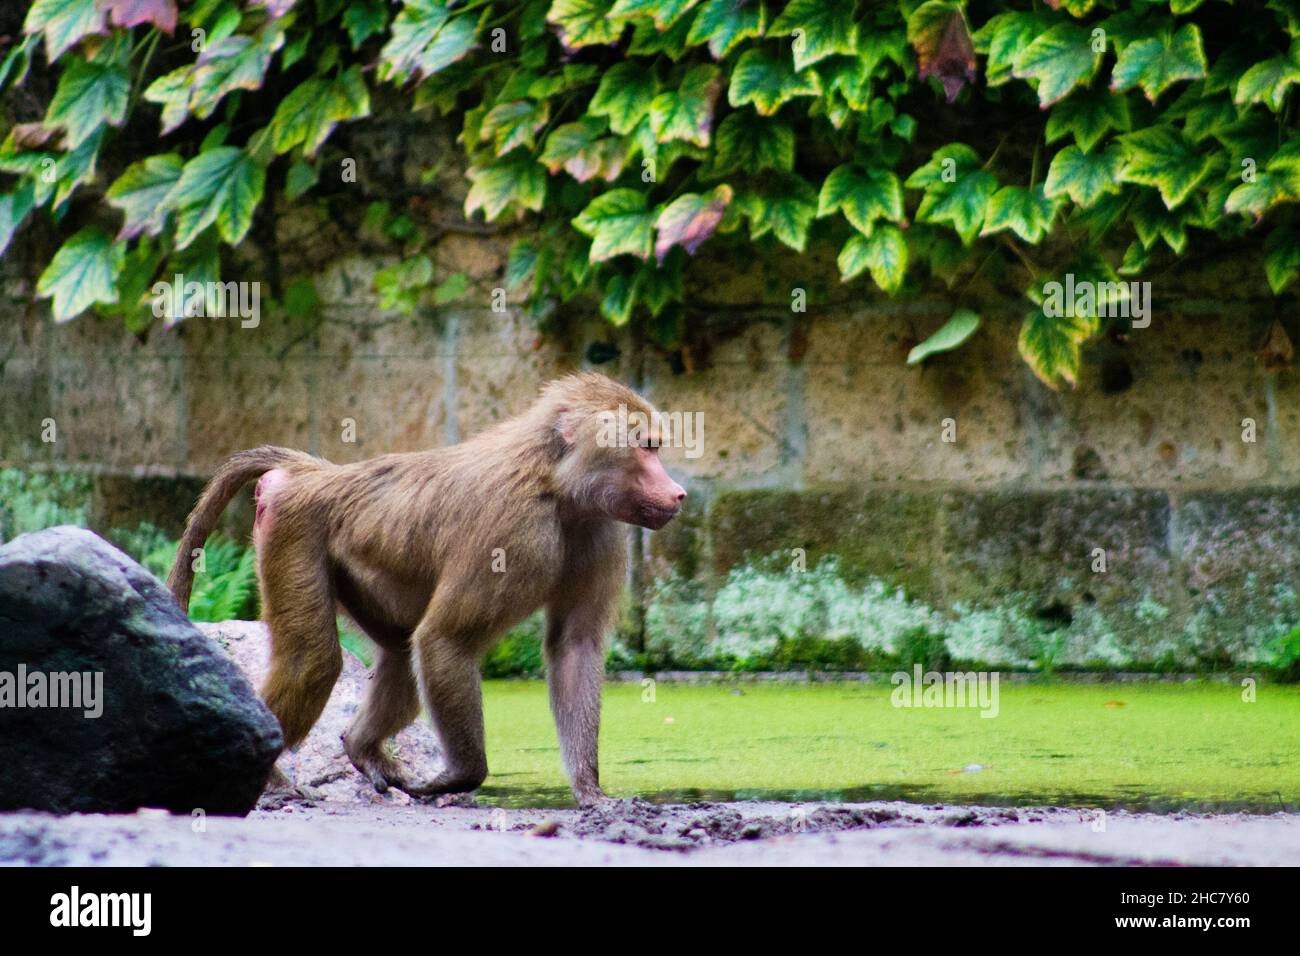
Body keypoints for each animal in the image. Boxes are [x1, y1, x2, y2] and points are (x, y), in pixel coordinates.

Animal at [167, 372, 686, 807]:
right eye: (646, 447)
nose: (678, 493)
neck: (555, 483)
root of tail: (326, 475)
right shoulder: (513, 534)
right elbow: (446, 640)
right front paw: (461, 777)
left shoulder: (599, 529)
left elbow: (574, 647)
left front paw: (591, 792)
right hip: (294, 531)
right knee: (315, 660)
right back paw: (272, 777)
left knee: (398, 654)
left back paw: (361, 749)